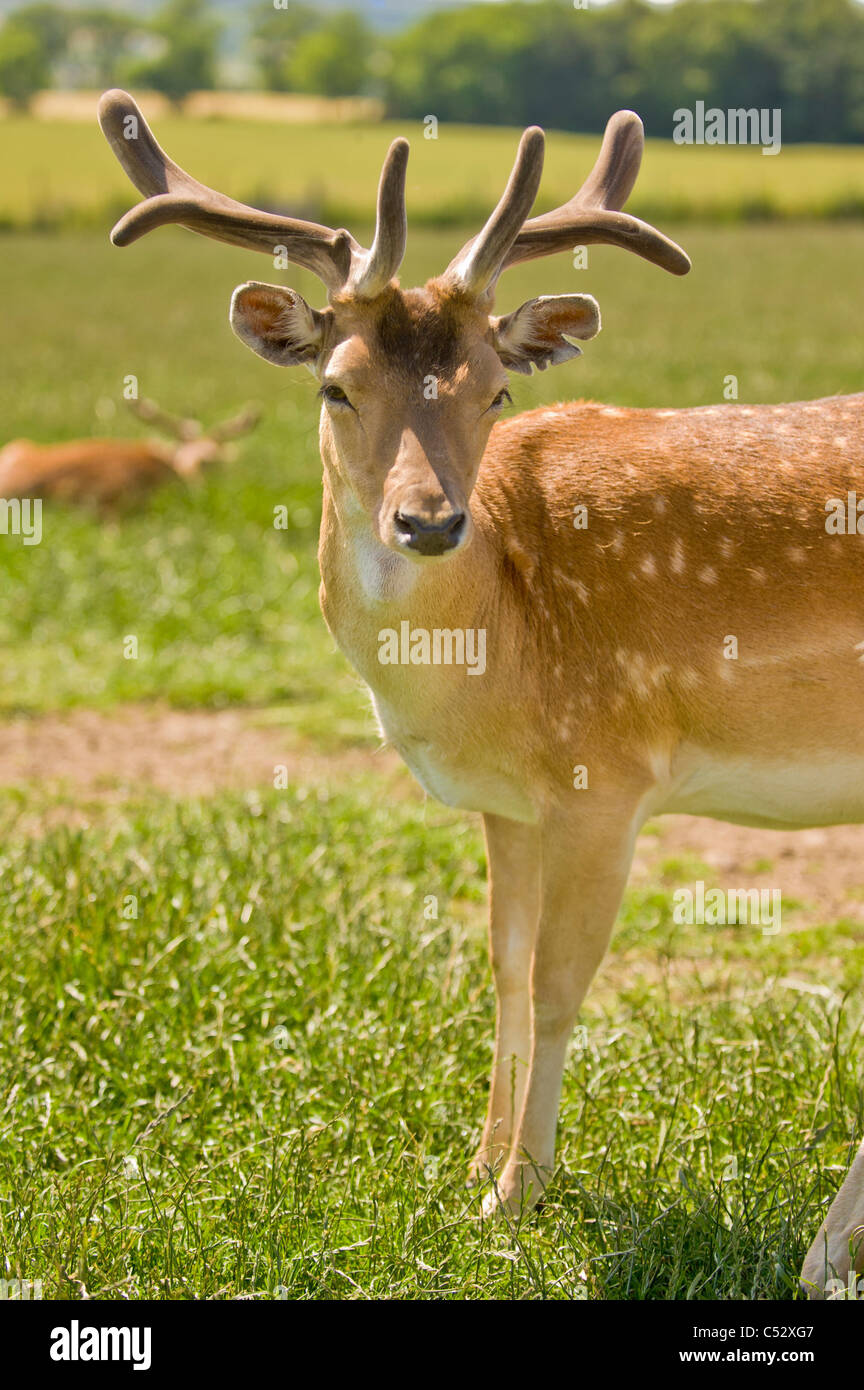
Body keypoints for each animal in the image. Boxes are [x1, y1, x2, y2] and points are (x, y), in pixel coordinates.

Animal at [98, 87, 864, 1300]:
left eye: (495, 389)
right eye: (336, 383)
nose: (428, 520)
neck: (493, 653)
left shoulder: (609, 772)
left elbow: (558, 980)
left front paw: (522, 1195)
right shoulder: (511, 803)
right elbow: (501, 966)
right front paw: (471, 1172)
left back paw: (820, 1256)